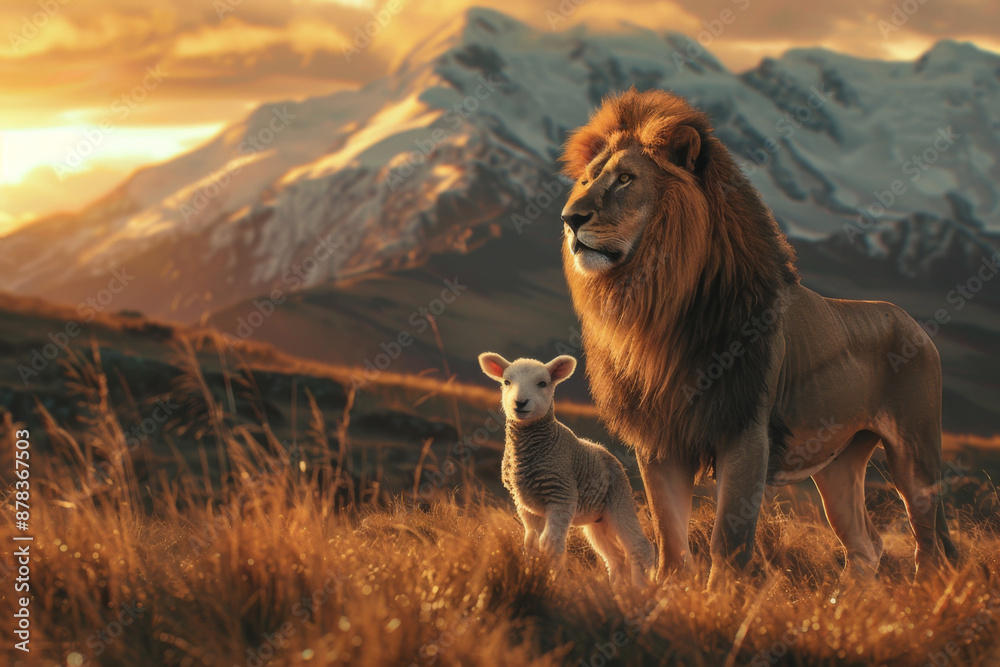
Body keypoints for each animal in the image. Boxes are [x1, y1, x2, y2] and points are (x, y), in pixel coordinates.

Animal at [478, 352, 655, 585]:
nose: (520, 402)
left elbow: (550, 544)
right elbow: (531, 544)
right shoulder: (525, 504)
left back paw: (641, 587)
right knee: (616, 556)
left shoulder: (562, 494)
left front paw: (554, 582)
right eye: (506, 382)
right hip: (597, 520)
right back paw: (617, 588)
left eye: (542, 383)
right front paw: (535, 574)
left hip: (619, 499)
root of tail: (607, 452)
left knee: (638, 547)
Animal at [558, 88, 959, 588]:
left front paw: (721, 598)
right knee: (866, 543)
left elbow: (728, 538)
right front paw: (670, 593)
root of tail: (914, 325)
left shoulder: (745, 429)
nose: (570, 218)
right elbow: (671, 536)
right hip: (838, 466)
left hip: (914, 453)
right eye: (588, 180)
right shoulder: (659, 440)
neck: (660, 307)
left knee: (930, 544)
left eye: (626, 179)